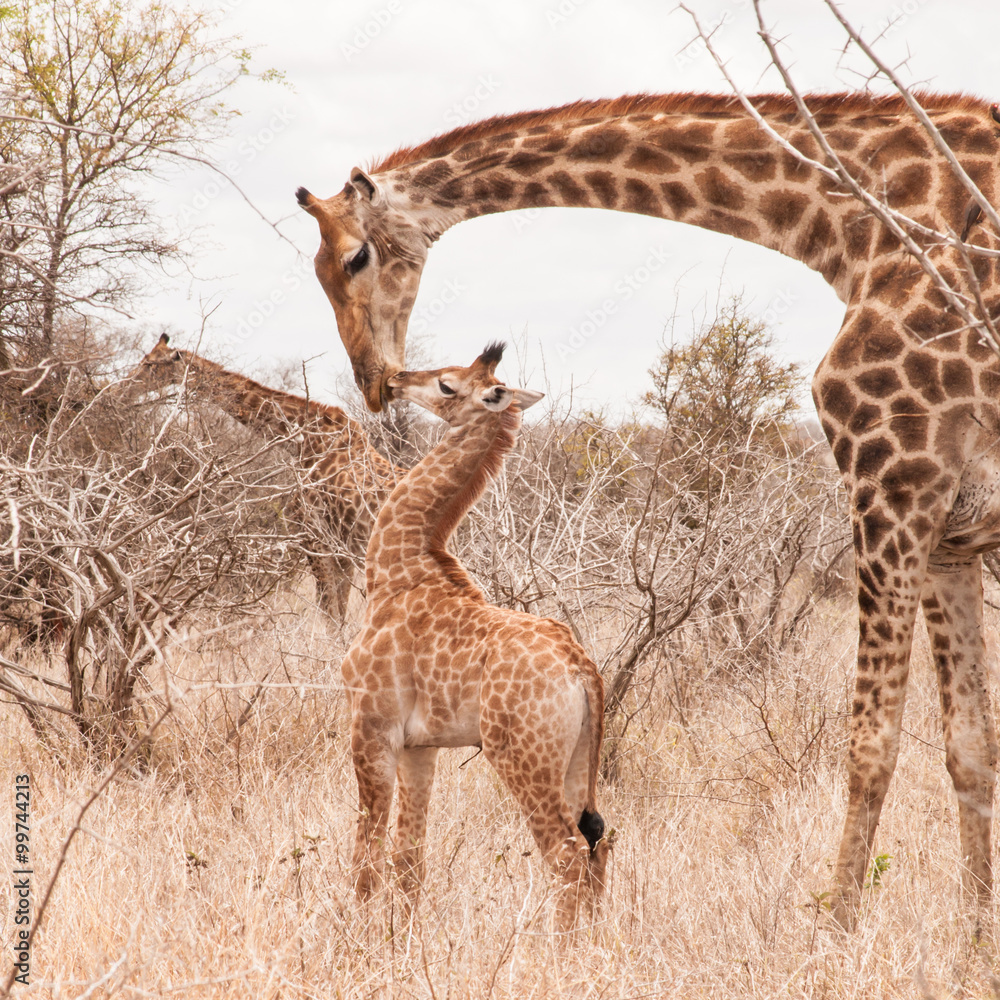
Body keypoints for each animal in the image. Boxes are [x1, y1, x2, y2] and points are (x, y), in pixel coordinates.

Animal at [130, 334, 403, 622]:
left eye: (150, 364)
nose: (124, 388)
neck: (303, 441)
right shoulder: (339, 550)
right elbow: (337, 615)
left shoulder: (315, 539)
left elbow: (330, 616)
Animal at [342, 342, 611, 927]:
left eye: (447, 384)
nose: (397, 379)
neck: (397, 568)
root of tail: (582, 669)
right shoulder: (420, 746)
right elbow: (409, 857)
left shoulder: (372, 726)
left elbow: (366, 856)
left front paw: (356, 936)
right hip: (578, 760)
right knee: (599, 845)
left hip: (521, 756)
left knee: (566, 854)